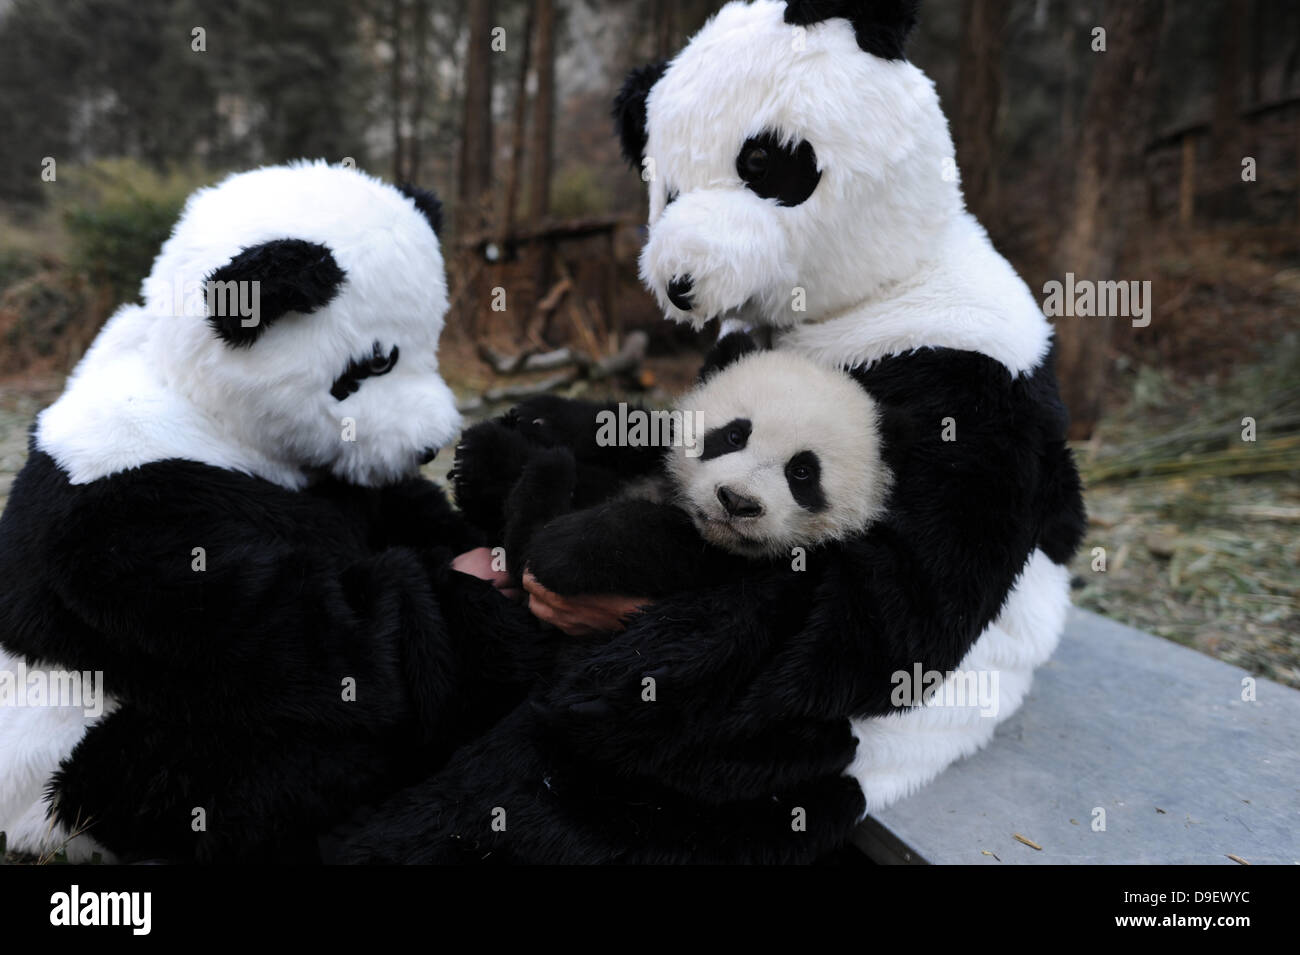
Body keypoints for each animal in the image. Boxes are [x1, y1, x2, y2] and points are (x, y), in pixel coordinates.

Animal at [0, 161, 543, 863]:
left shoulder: (328, 476)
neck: (203, 405)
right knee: (238, 763)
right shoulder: (126, 508)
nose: (429, 445)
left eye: (433, 343)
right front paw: (481, 605)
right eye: (378, 361)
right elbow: (325, 638)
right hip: (74, 770)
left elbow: (389, 506)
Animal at [456, 335, 890, 599]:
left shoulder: (744, 568)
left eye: (802, 473)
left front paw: (563, 545)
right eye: (734, 435)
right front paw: (540, 417)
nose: (736, 502)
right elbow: (634, 429)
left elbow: (658, 542)